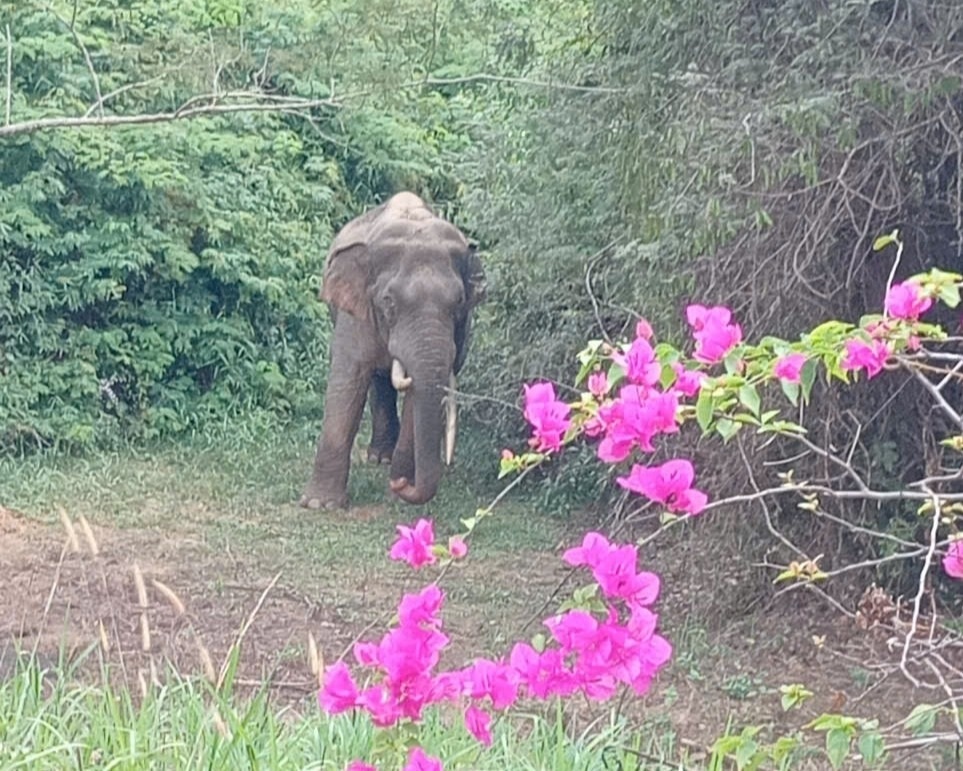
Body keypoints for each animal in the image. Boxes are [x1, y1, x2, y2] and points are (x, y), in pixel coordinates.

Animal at [299, 192, 486, 509]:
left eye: (460, 302)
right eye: (388, 301)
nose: (400, 484)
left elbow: (417, 395)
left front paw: (399, 484)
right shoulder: (356, 309)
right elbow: (348, 377)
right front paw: (319, 505)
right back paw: (380, 458)